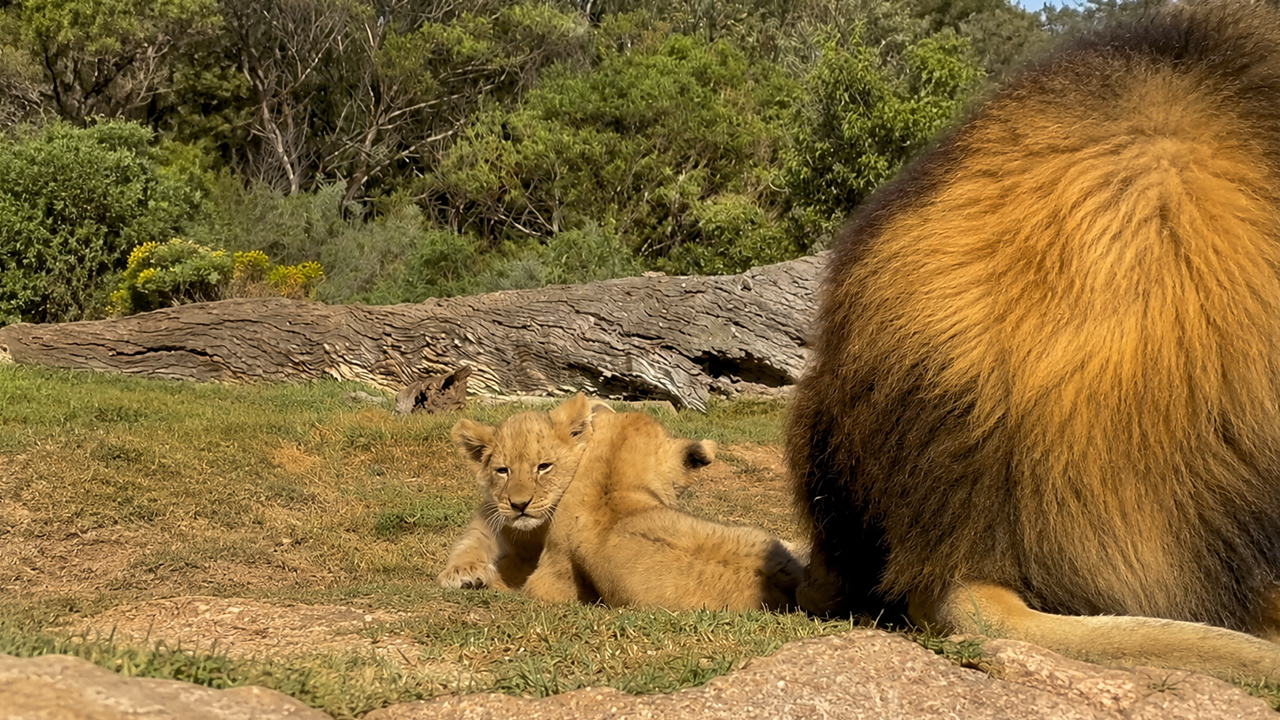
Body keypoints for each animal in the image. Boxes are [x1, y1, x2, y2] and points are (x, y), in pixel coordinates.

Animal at [437, 393, 612, 590]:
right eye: (503, 471)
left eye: (543, 466)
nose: (519, 505)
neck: (532, 532)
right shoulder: (489, 516)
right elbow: (471, 541)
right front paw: (461, 570)